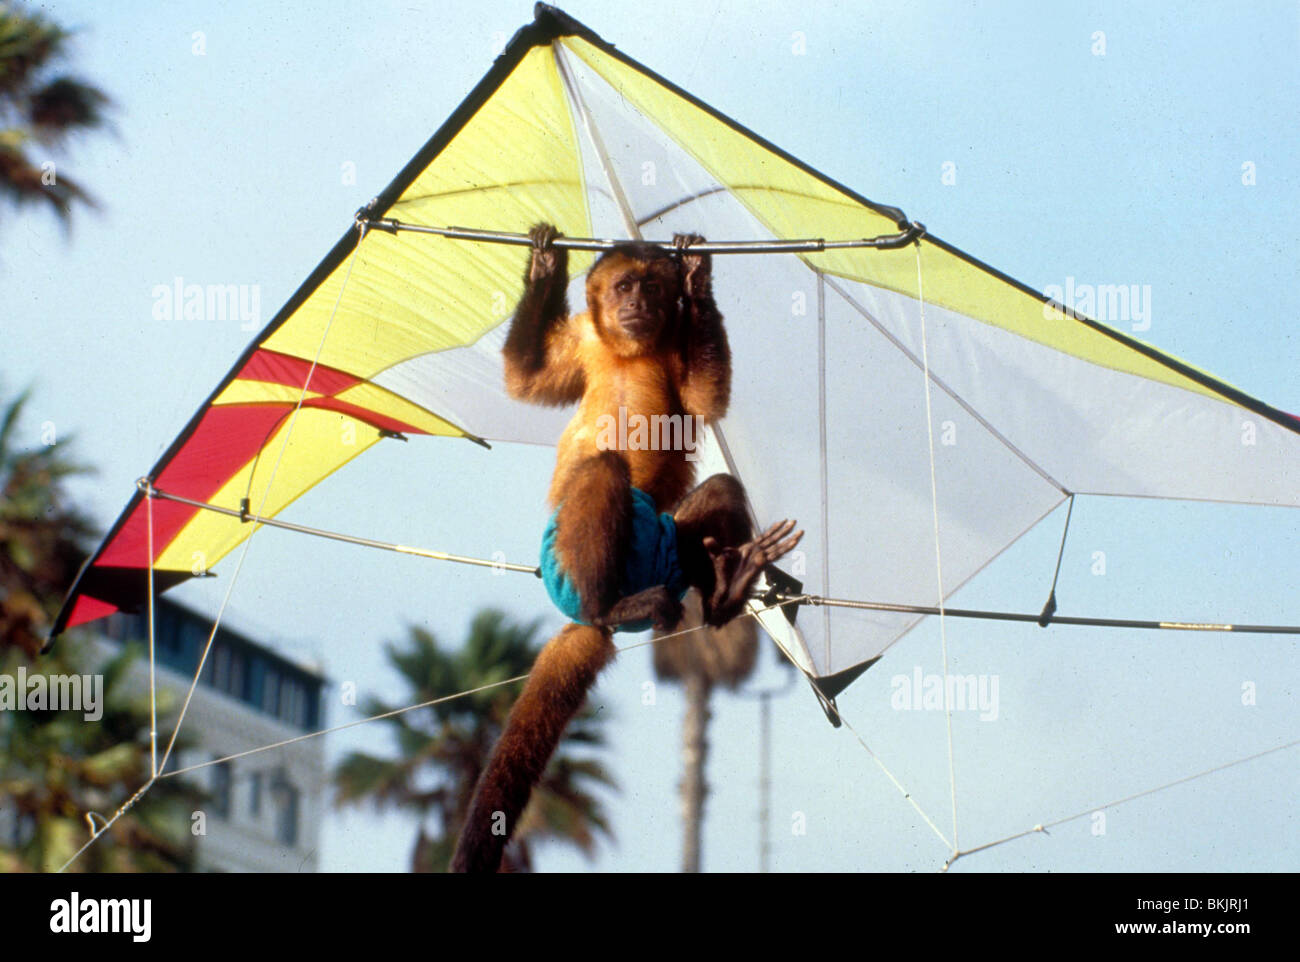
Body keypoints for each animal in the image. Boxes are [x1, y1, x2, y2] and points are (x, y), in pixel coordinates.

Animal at [449, 224, 801, 872]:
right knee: (603, 471)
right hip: (566, 559)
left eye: (652, 288)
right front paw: (544, 265)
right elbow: (526, 380)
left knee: (716, 492)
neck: (629, 349)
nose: (638, 303)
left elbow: (704, 398)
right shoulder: (586, 337)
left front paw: (697, 274)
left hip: (663, 544)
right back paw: (610, 608)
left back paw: (725, 591)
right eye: (623, 287)